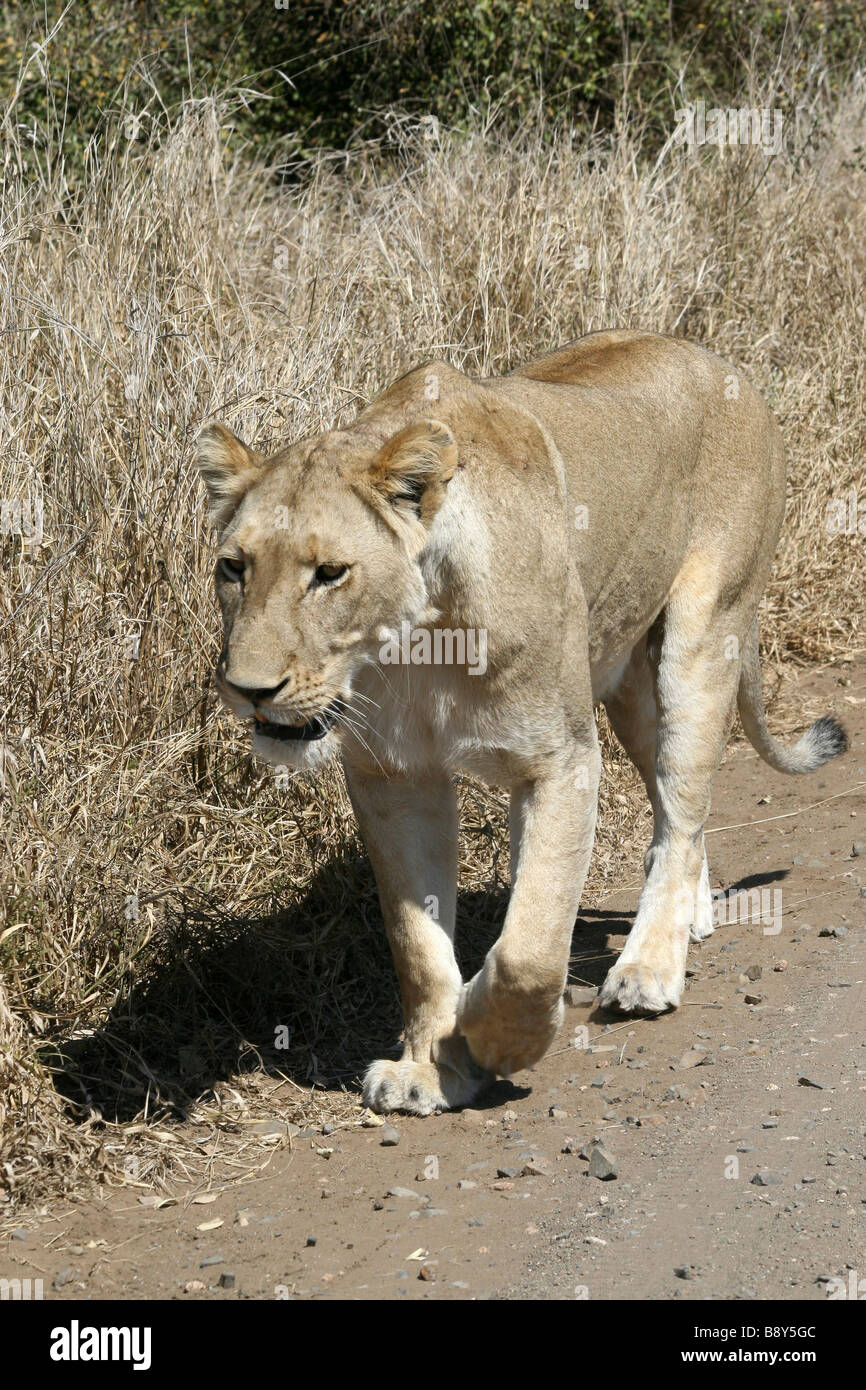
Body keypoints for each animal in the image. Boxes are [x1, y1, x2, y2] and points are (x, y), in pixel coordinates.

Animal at [195, 329, 847, 1116]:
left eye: (329, 573)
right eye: (234, 567)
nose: (248, 690)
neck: (418, 643)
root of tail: (723, 365)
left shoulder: (562, 761)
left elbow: (529, 949)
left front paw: (491, 1037)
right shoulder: (394, 776)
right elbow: (418, 943)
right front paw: (428, 1070)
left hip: (702, 638)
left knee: (682, 807)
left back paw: (650, 969)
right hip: (630, 688)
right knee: (671, 814)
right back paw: (691, 914)